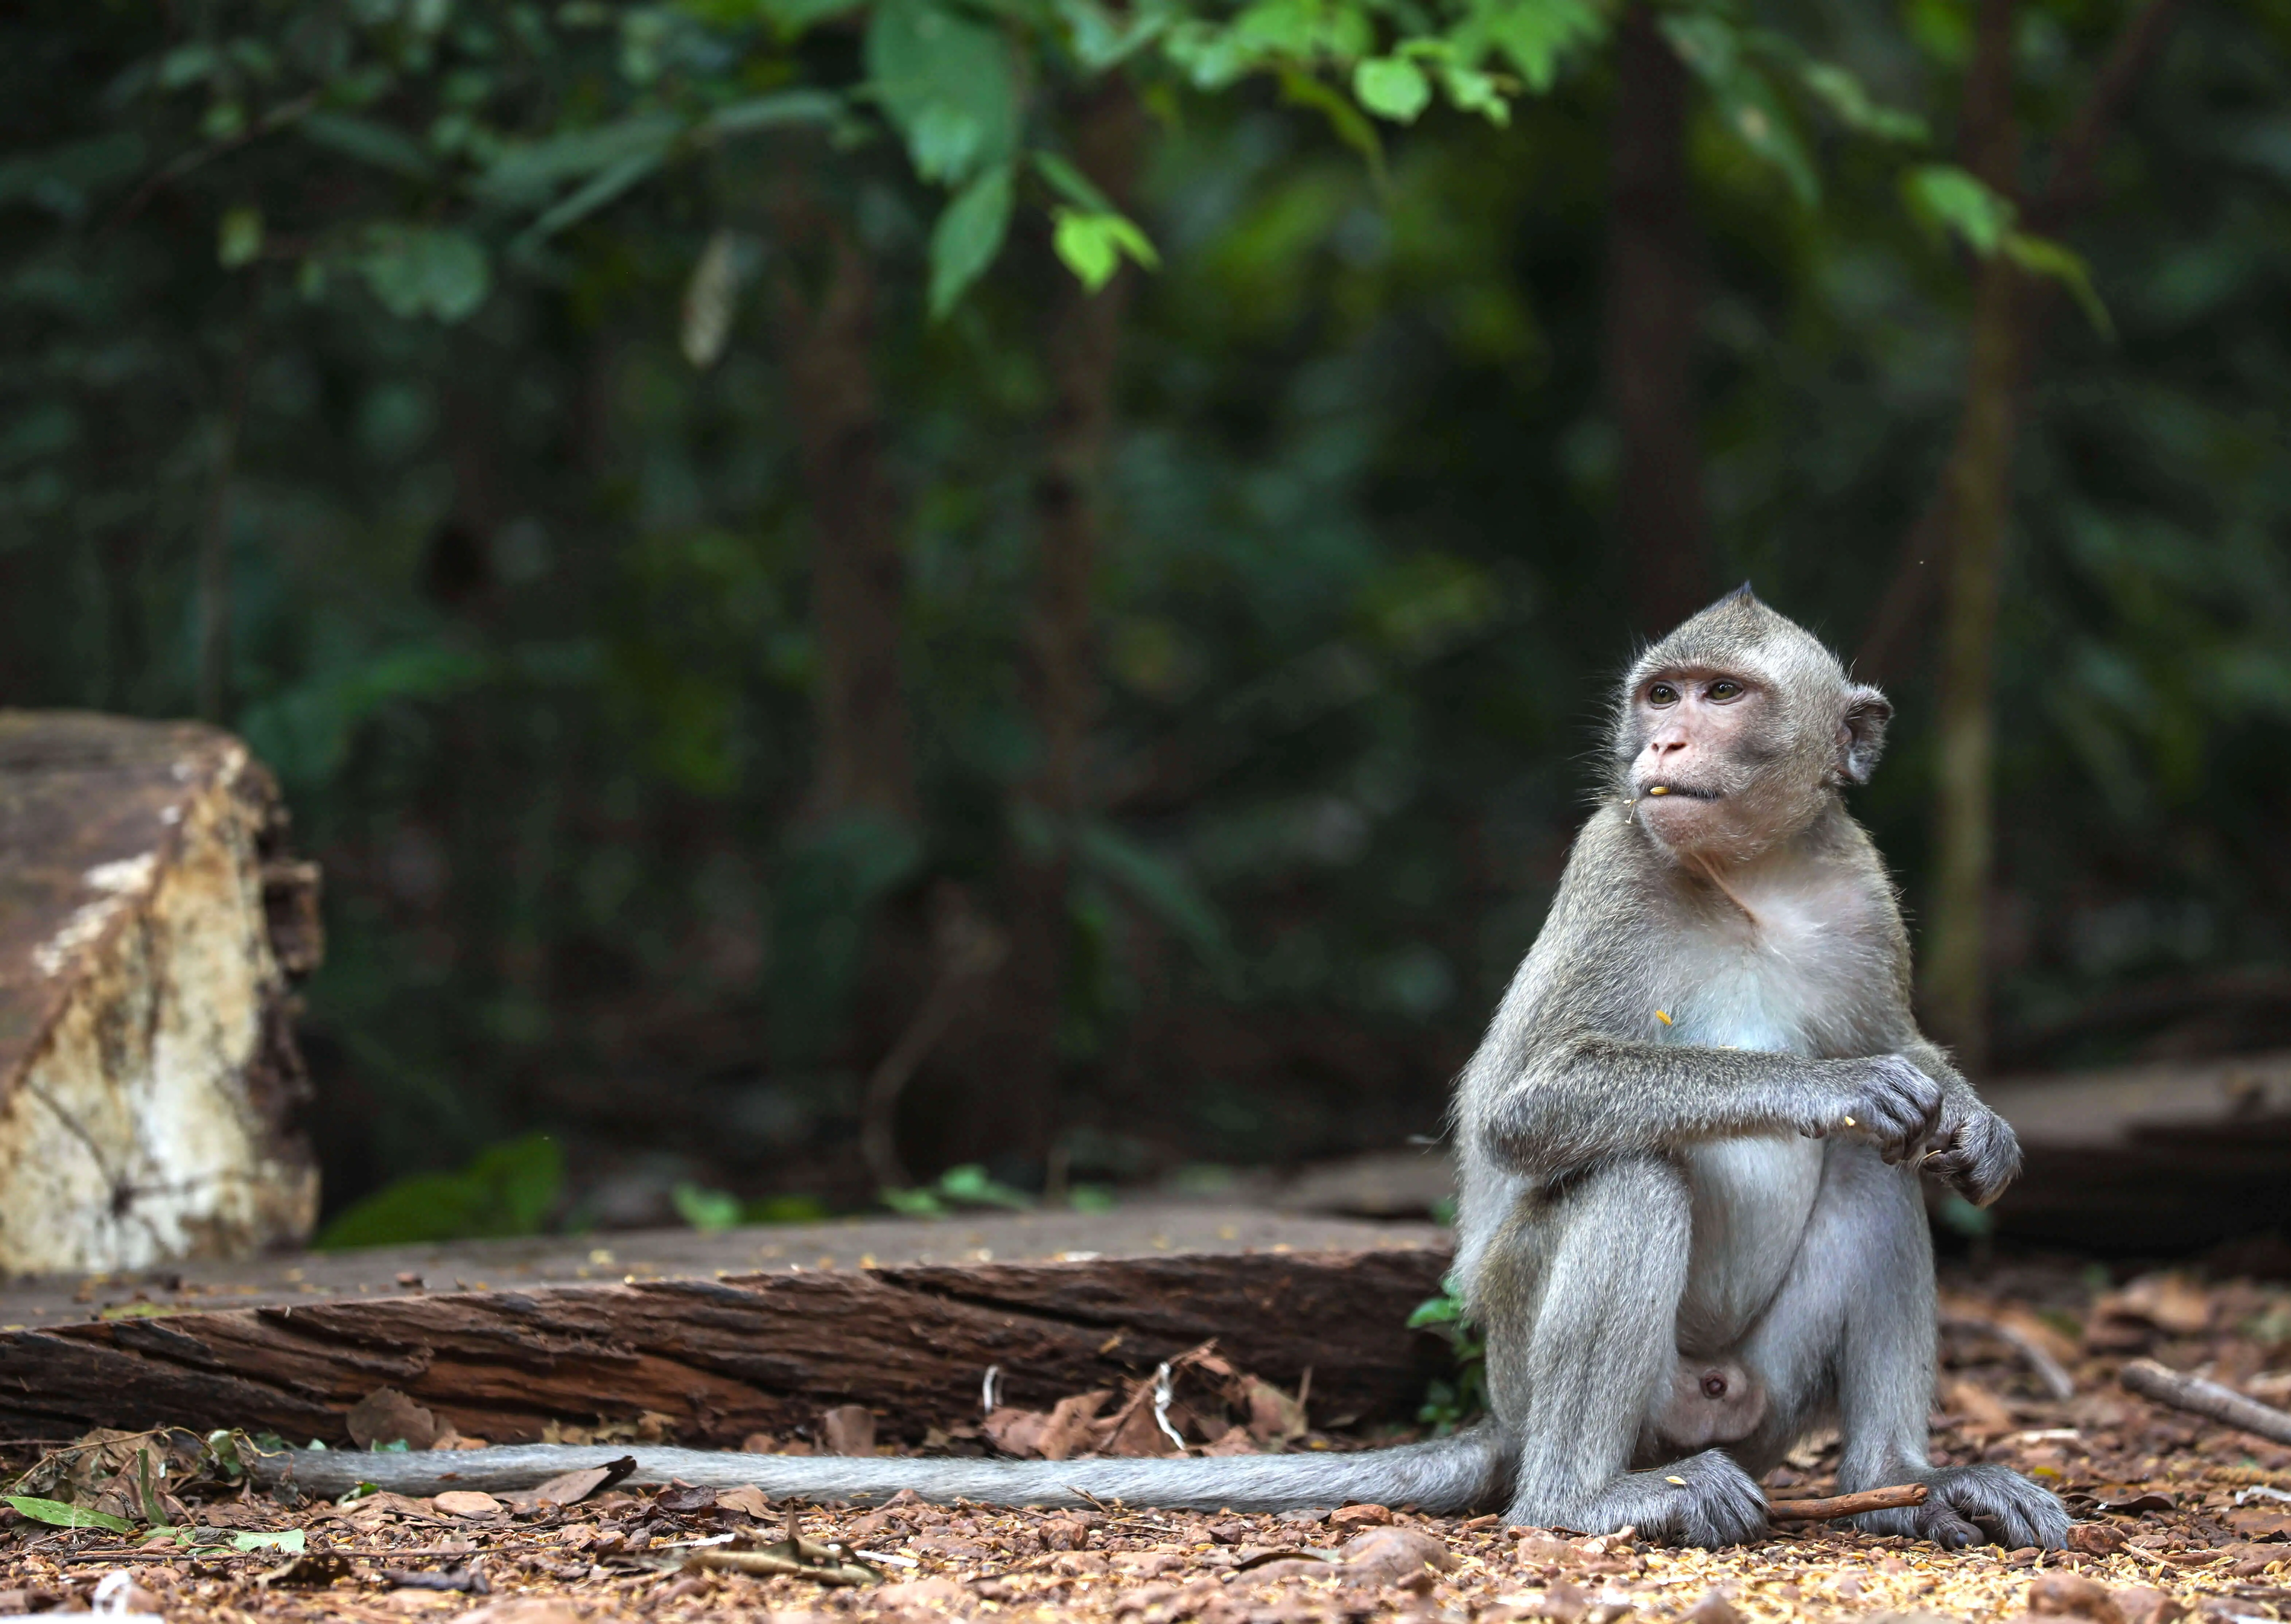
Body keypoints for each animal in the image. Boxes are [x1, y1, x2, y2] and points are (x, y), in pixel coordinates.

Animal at [258, 589, 2066, 1551]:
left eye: (1727, 697)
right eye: (1663, 696)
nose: (1666, 744)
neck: (1746, 876)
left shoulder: (1859, 886)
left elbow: (1906, 1085)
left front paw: (1964, 1109)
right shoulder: (1613, 859)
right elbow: (1535, 1109)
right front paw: (1856, 1092)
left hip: (1752, 1392)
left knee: (1874, 1200)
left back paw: (1905, 1487)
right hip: (1567, 1373)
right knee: (1622, 1176)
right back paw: (1584, 1504)